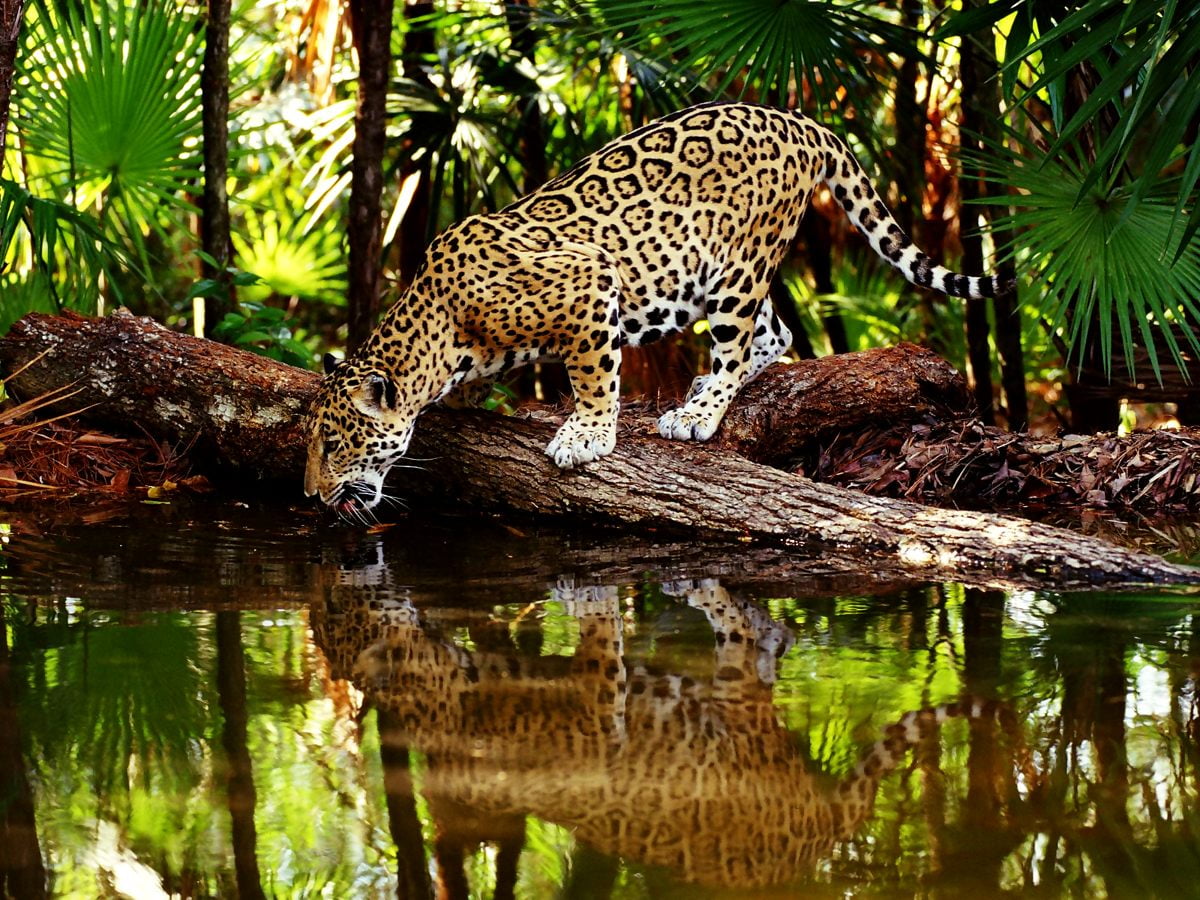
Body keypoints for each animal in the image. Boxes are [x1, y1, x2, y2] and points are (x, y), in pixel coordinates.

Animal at [304, 100, 1011, 515]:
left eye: (335, 443)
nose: (311, 494)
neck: (439, 329)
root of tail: (797, 120)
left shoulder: (590, 282)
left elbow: (593, 375)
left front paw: (586, 434)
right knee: (777, 332)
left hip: (736, 266)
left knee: (740, 339)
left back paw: (697, 412)